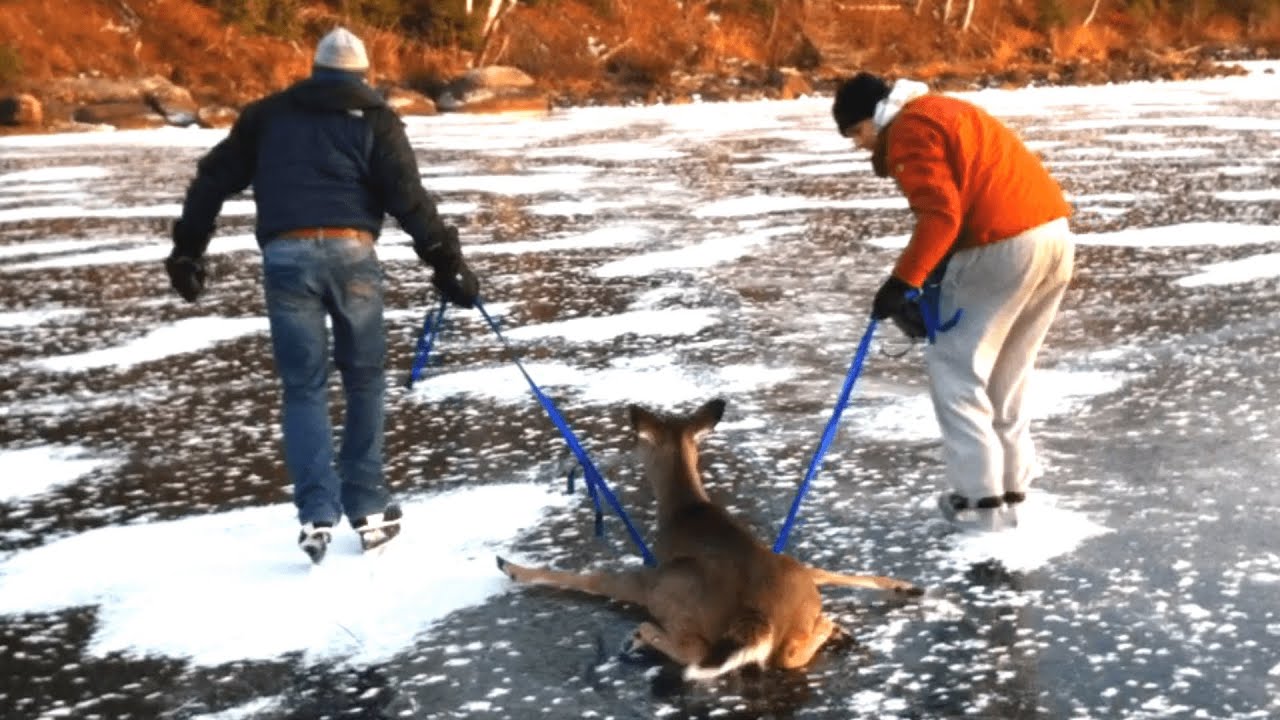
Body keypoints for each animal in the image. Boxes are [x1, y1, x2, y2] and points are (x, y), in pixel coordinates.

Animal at [496, 398, 923, 681]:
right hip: (791, 571)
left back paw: (640, 636)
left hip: (674, 586)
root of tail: (759, 621)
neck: (684, 509)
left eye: (637, 442)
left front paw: (510, 566)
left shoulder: (650, 574)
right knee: (819, 594)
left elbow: (591, 578)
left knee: (702, 652)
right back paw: (894, 594)